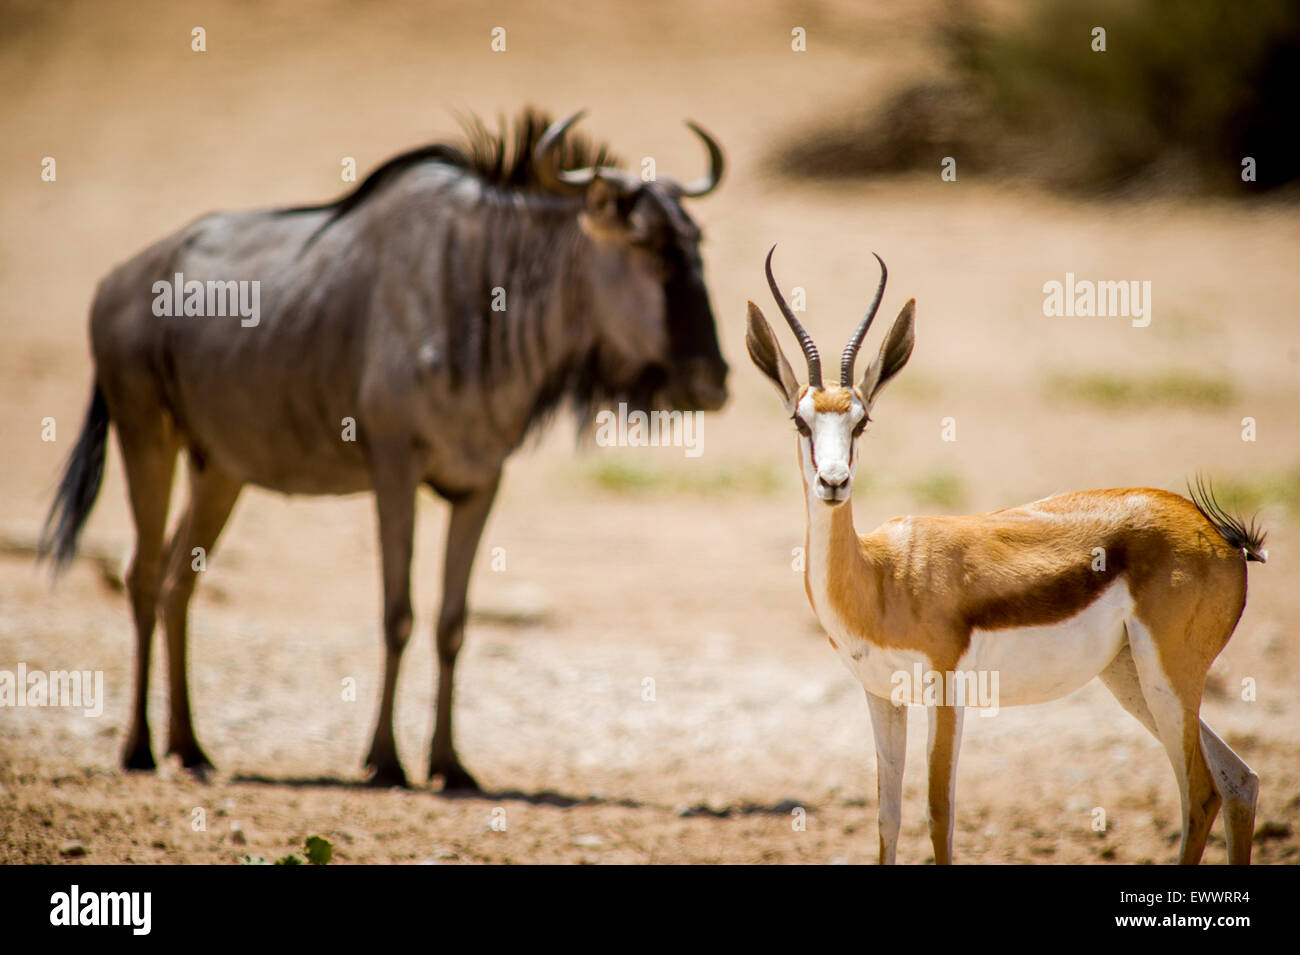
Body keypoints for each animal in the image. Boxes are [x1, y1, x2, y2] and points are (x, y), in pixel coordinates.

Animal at [746, 246, 1265, 864]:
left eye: (861, 420)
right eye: (801, 420)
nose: (833, 481)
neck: (881, 575)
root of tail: (1216, 534)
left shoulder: (946, 693)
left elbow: (939, 815)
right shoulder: (881, 697)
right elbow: (887, 816)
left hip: (1168, 678)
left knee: (1201, 792)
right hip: (1131, 678)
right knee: (1239, 780)